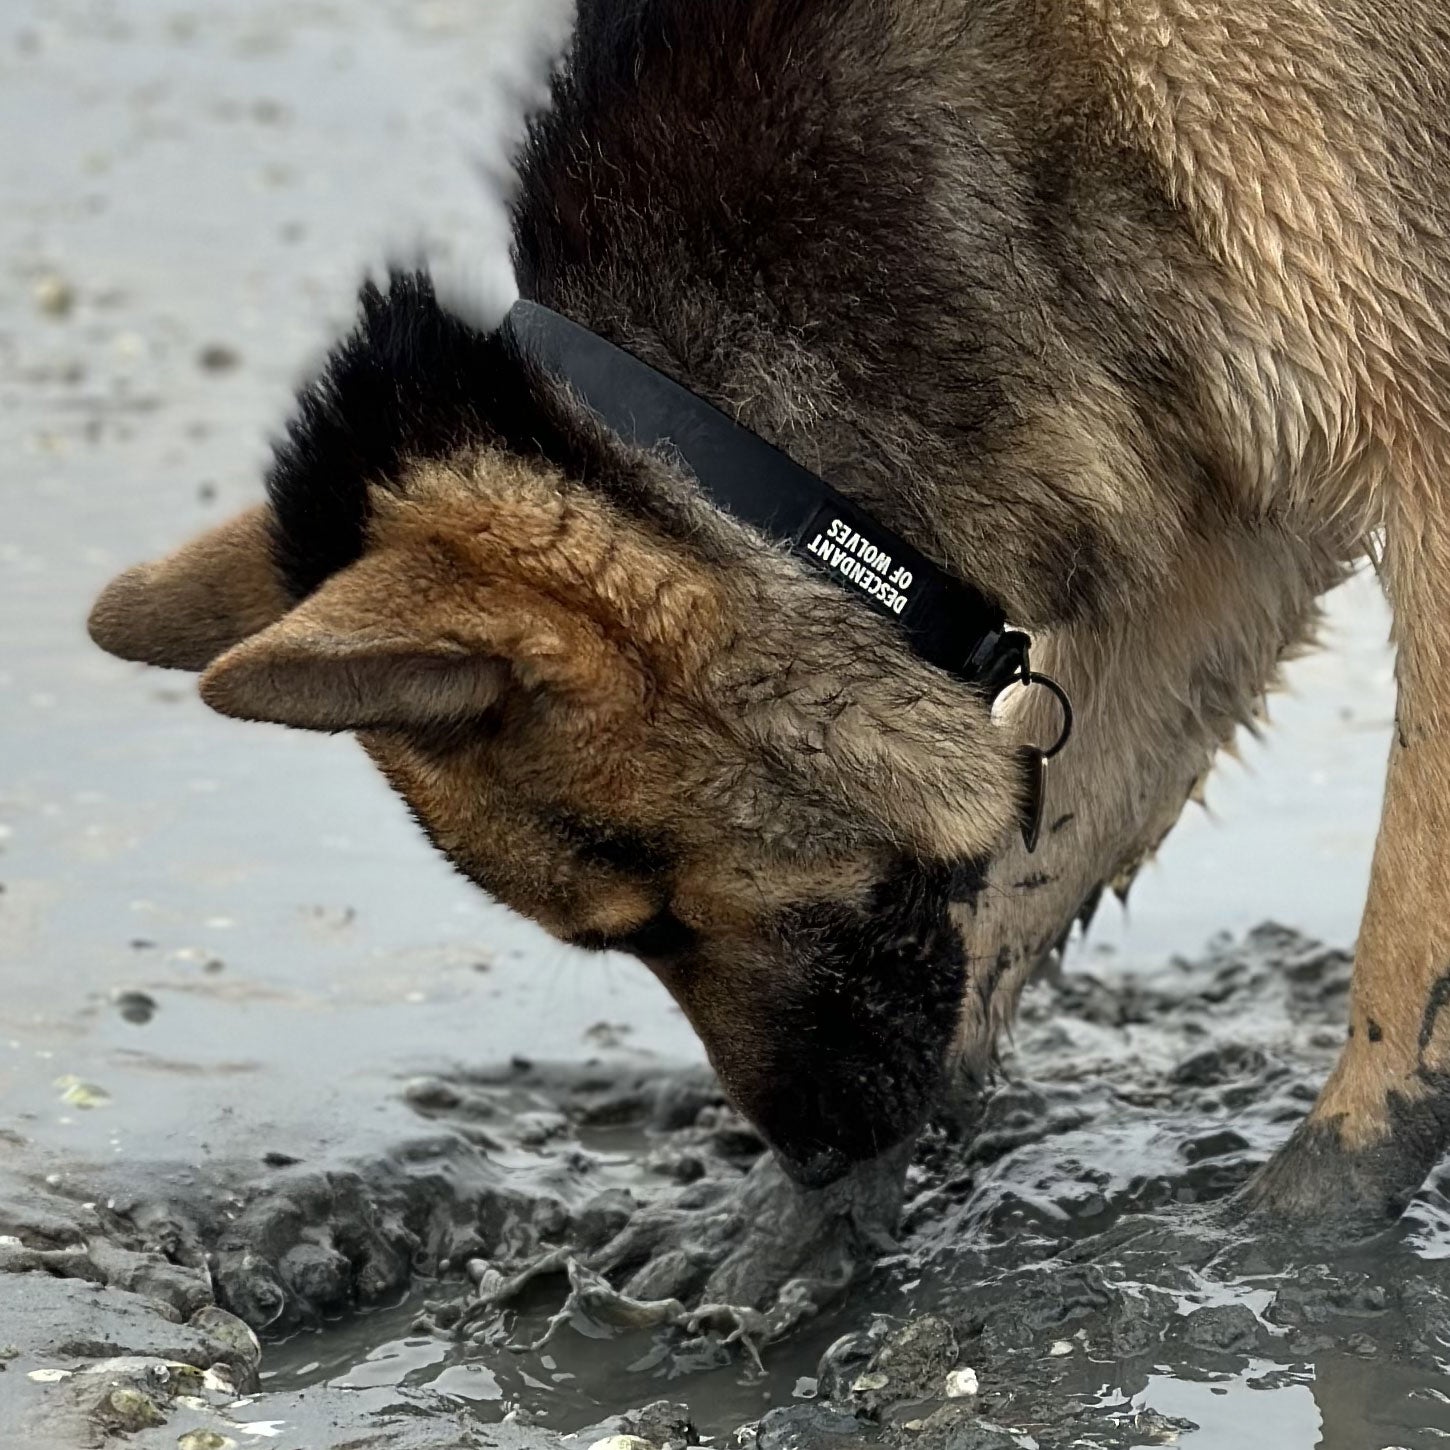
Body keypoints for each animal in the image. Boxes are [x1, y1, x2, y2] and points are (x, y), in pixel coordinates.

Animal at [88, 0, 1450, 1234]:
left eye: (648, 918)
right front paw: (814, 1226)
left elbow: (1405, 919)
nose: (811, 1156)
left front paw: (1318, 1202)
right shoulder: (1219, 530)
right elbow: (1035, 858)